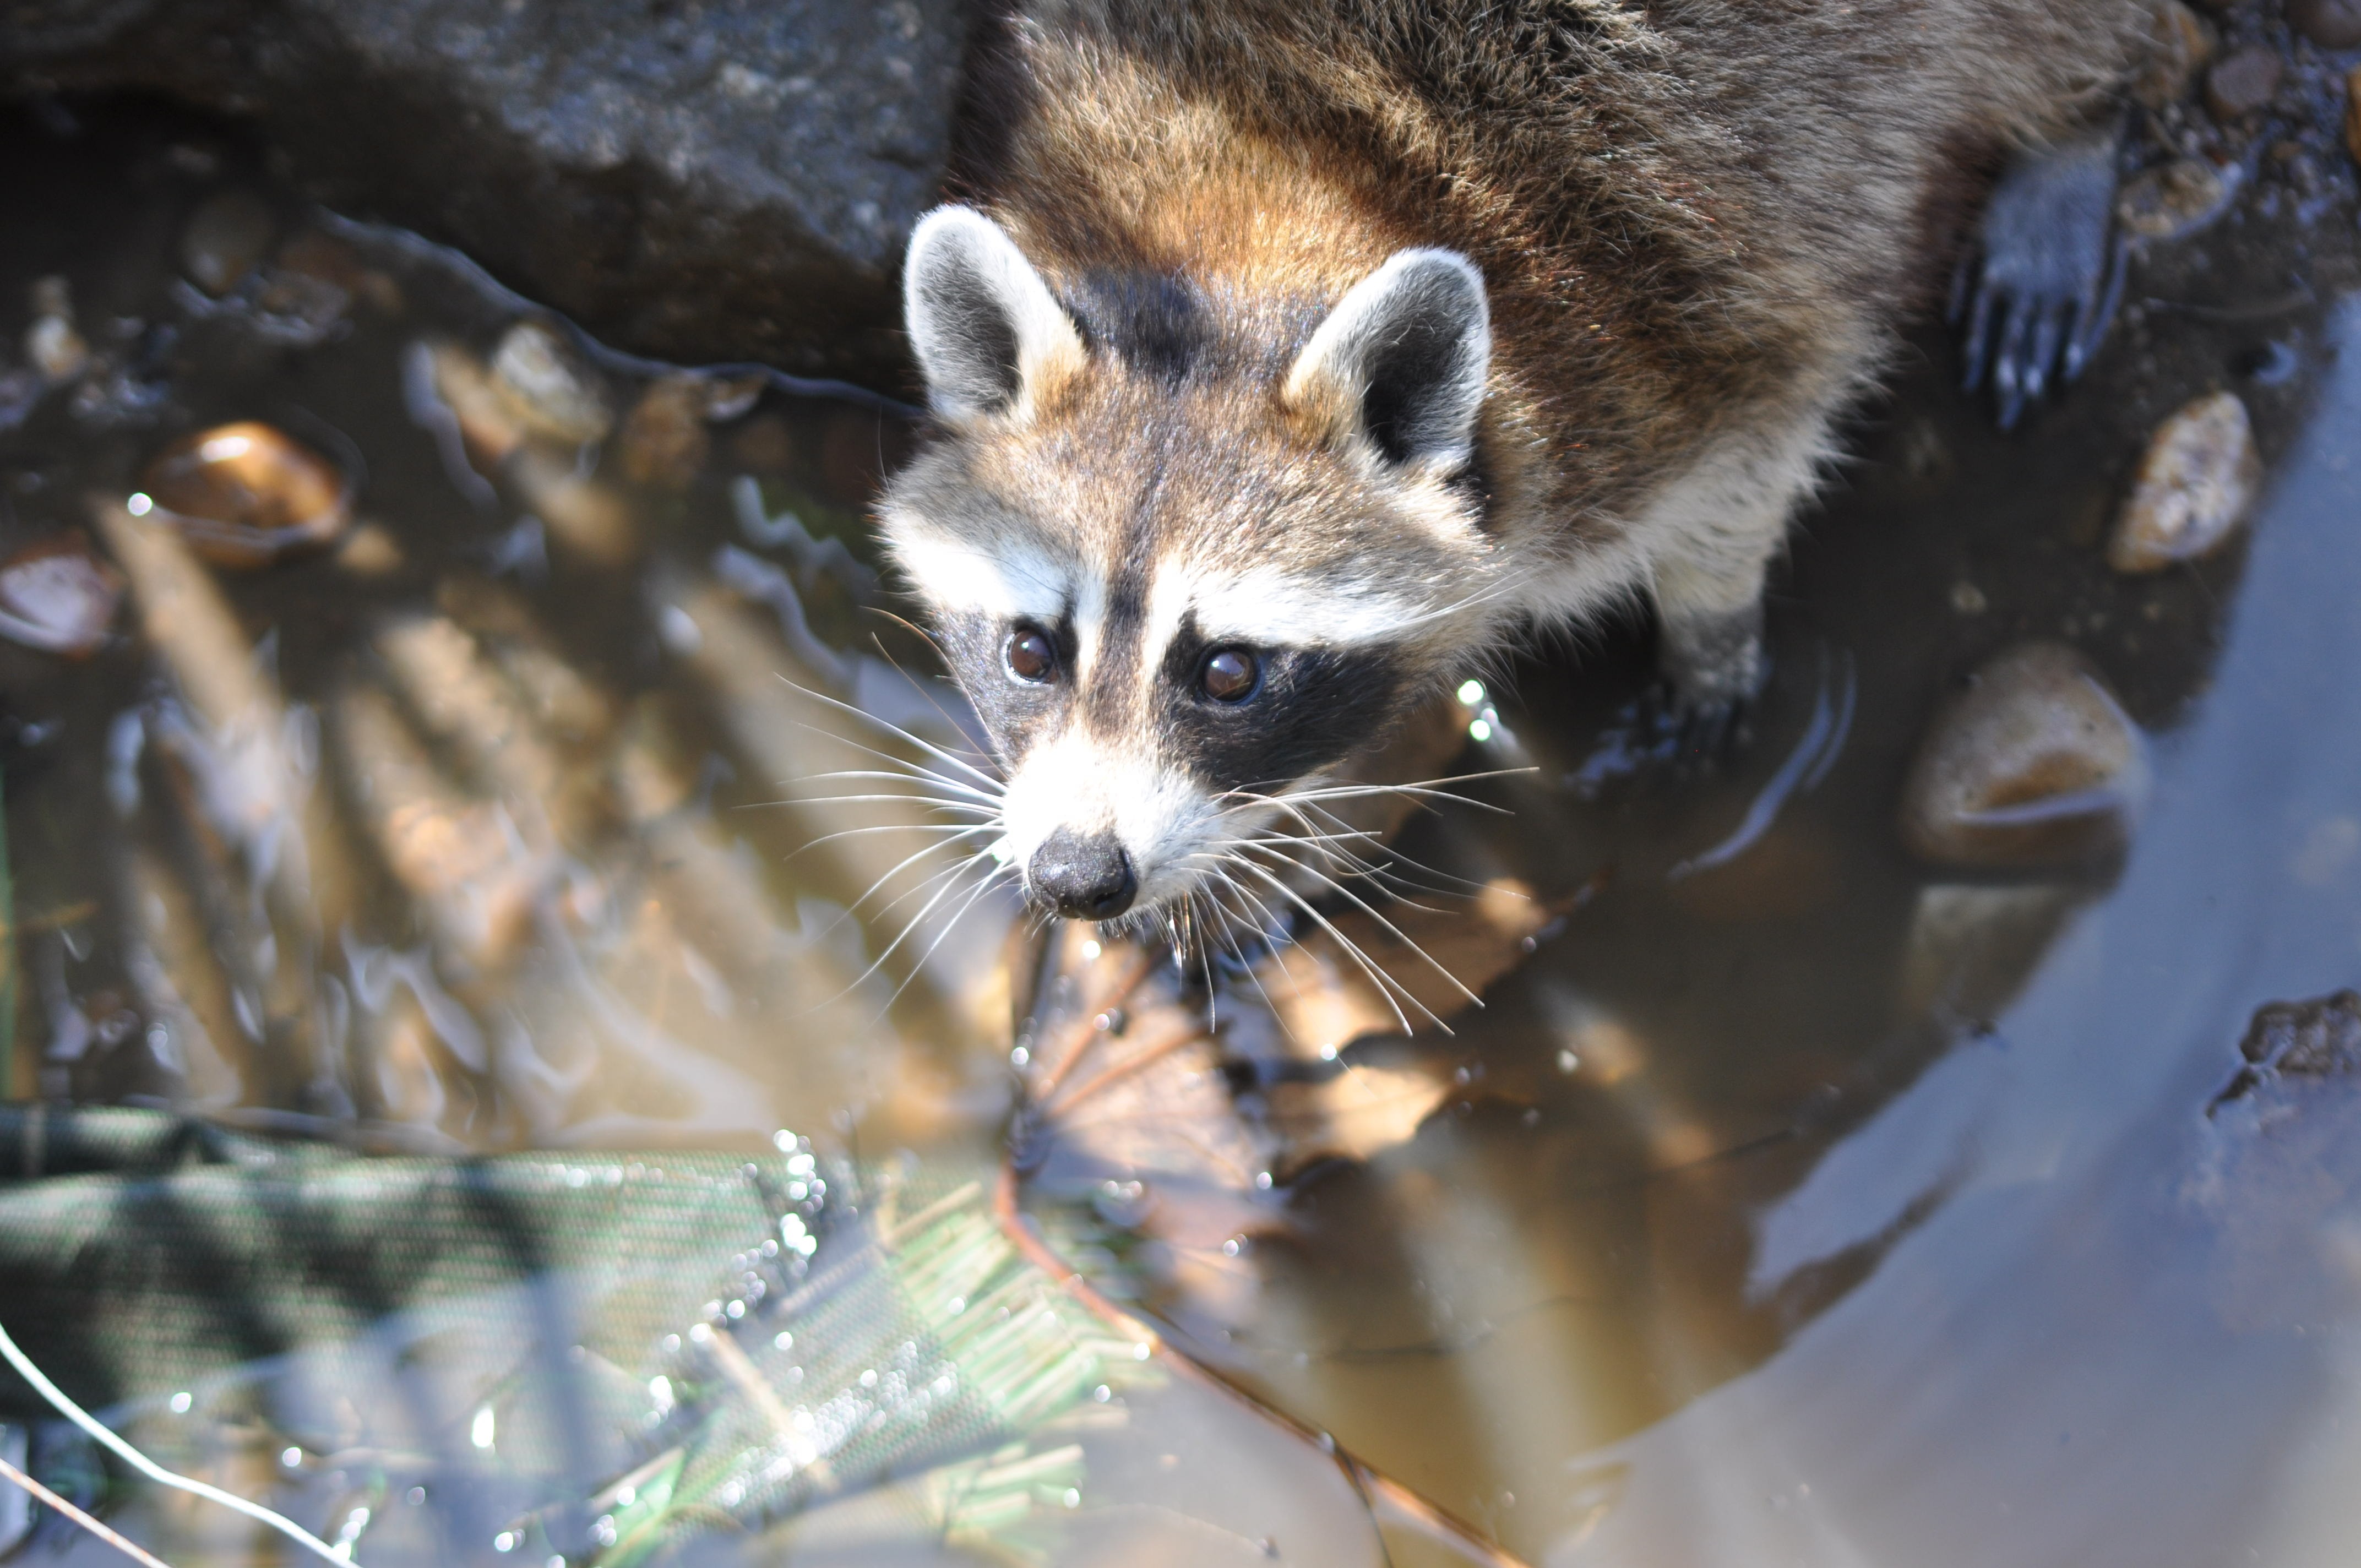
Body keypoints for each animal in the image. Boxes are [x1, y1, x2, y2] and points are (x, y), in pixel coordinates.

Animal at [876, 0, 2141, 929]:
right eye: (1028, 652)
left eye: (1229, 671)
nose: (1075, 876)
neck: (1235, 230)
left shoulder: (1682, 306)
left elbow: (1758, 455)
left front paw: (1711, 627)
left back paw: (2074, 131)